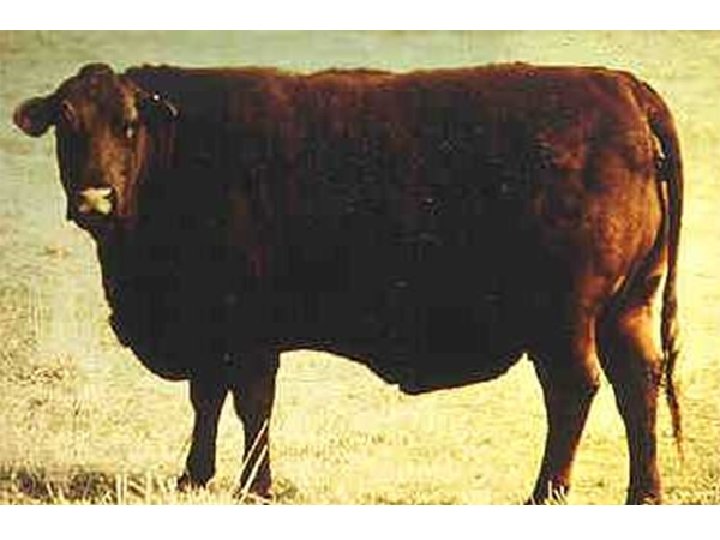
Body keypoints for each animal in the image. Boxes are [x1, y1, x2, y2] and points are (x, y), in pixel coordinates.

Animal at [13, 62, 683, 504]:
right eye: (65, 124)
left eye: (129, 123)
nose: (94, 199)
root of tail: (619, 86)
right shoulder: (212, 328)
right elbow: (208, 400)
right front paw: (193, 476)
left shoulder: (249, 330)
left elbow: (251, 405)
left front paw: (255, 487)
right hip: (629, 306)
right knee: (639, 386)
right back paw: (643, 495)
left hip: (563, 320)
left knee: (574, 391)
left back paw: (544, 494)